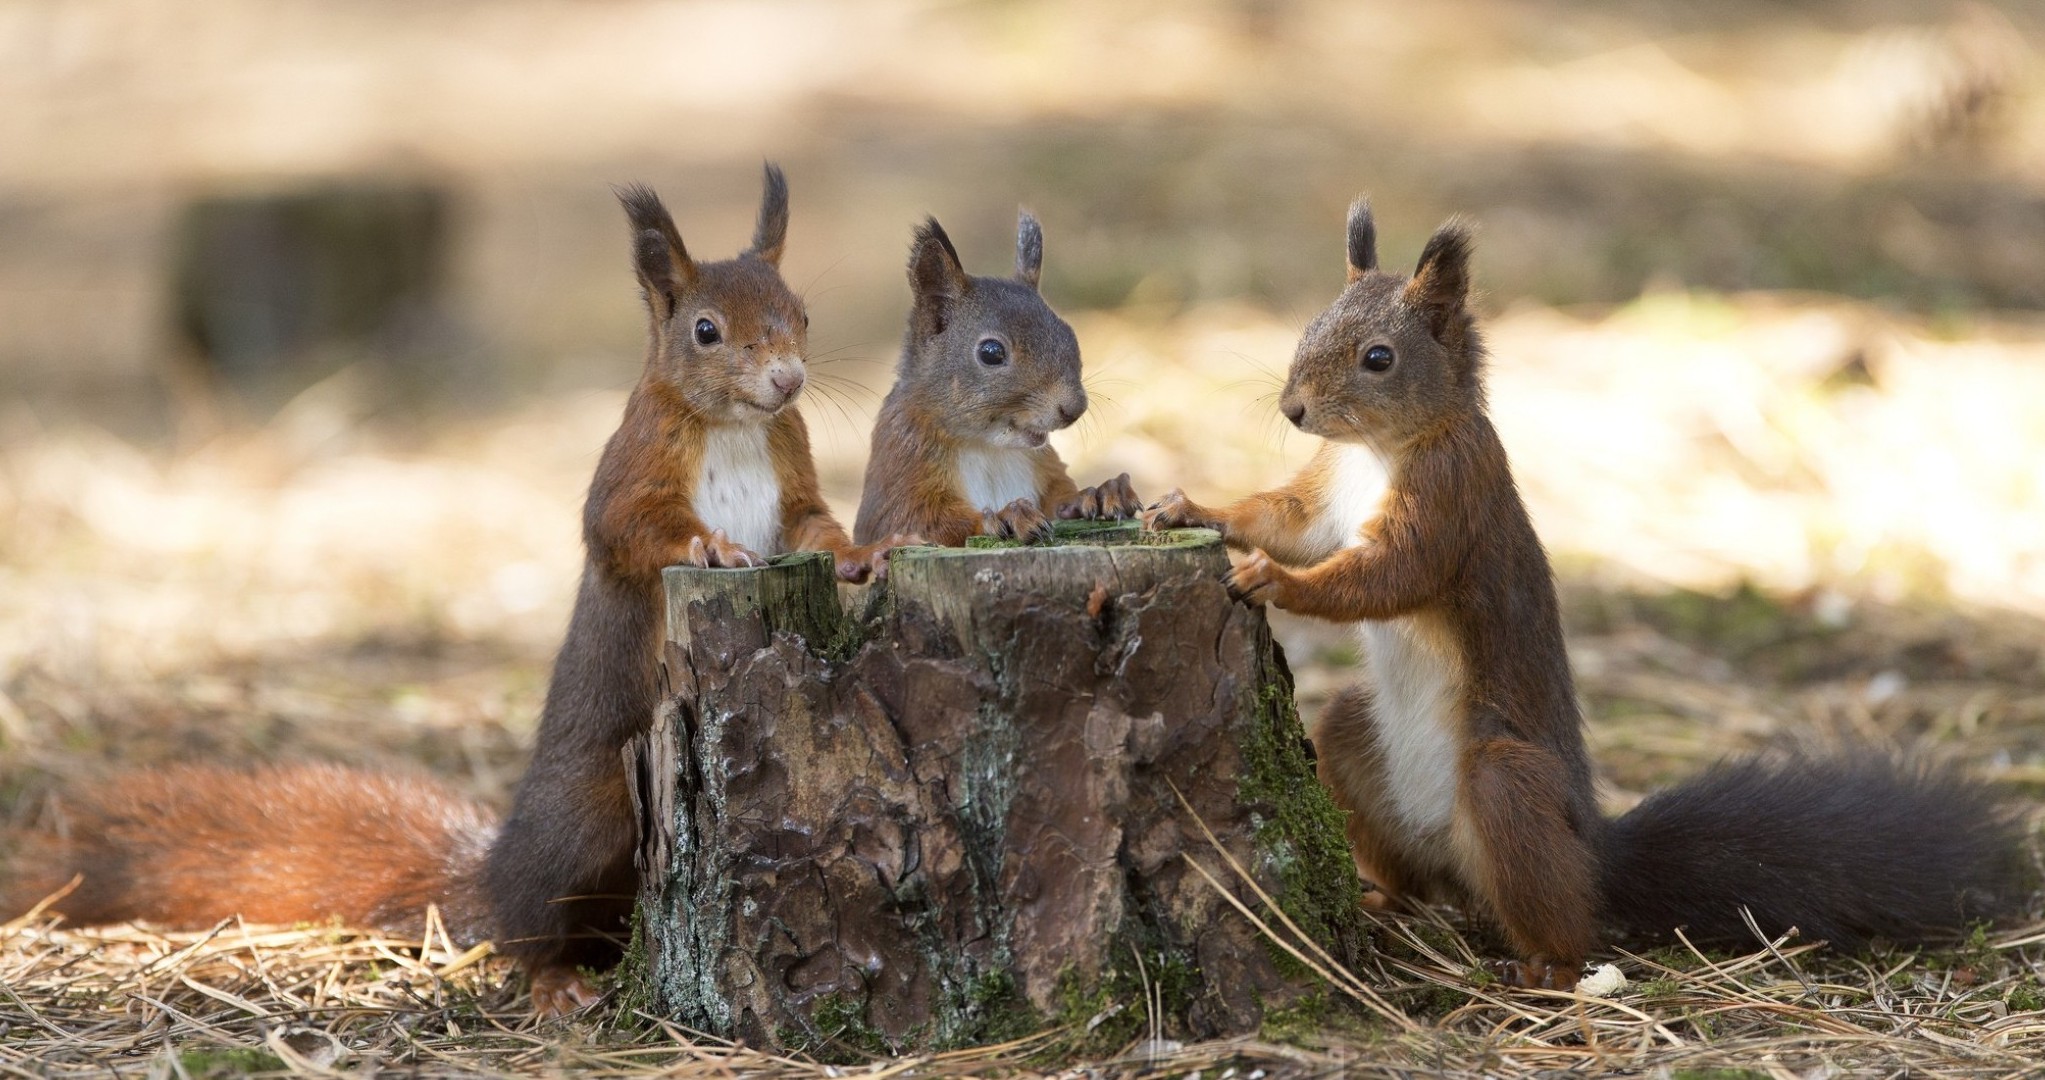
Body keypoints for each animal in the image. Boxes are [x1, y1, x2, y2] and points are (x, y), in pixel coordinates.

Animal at [1, 166, 898, 1016]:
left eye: (801, 314)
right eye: (705, 331)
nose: (787, 381)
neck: (736, 429)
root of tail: (492, 869)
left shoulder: (792, 479)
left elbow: (816, 530)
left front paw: (866, 555)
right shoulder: (631, 472)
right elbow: (628, 530)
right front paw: (710, 547)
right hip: (583, 822)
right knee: (527, 929)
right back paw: (554, 981)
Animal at [854, 212, 1141, 547]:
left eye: (1069, 333)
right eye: (991, 352)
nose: (1074, 408)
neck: (989, 448)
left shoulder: (1044, 466)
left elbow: (1060, 500)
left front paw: (1100, 494)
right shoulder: (902, 464)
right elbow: (916, 524)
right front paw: (1007, 516)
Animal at [1143, 199, 2028, 990]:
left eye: (1379, 359)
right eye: (1307, 328)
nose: (1292, 408)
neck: (1378, 452)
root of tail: (1595, 853)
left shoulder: (1450, 500)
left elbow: (1386, 574)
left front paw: (1273, 578)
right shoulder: (1324, 495)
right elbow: (1283, 519)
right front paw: (1192, 510)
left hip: (1506, 785)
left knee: (1562, 913)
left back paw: (1545, 966)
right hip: (1357, 741)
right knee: (1409, 863)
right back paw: (1380, 899)